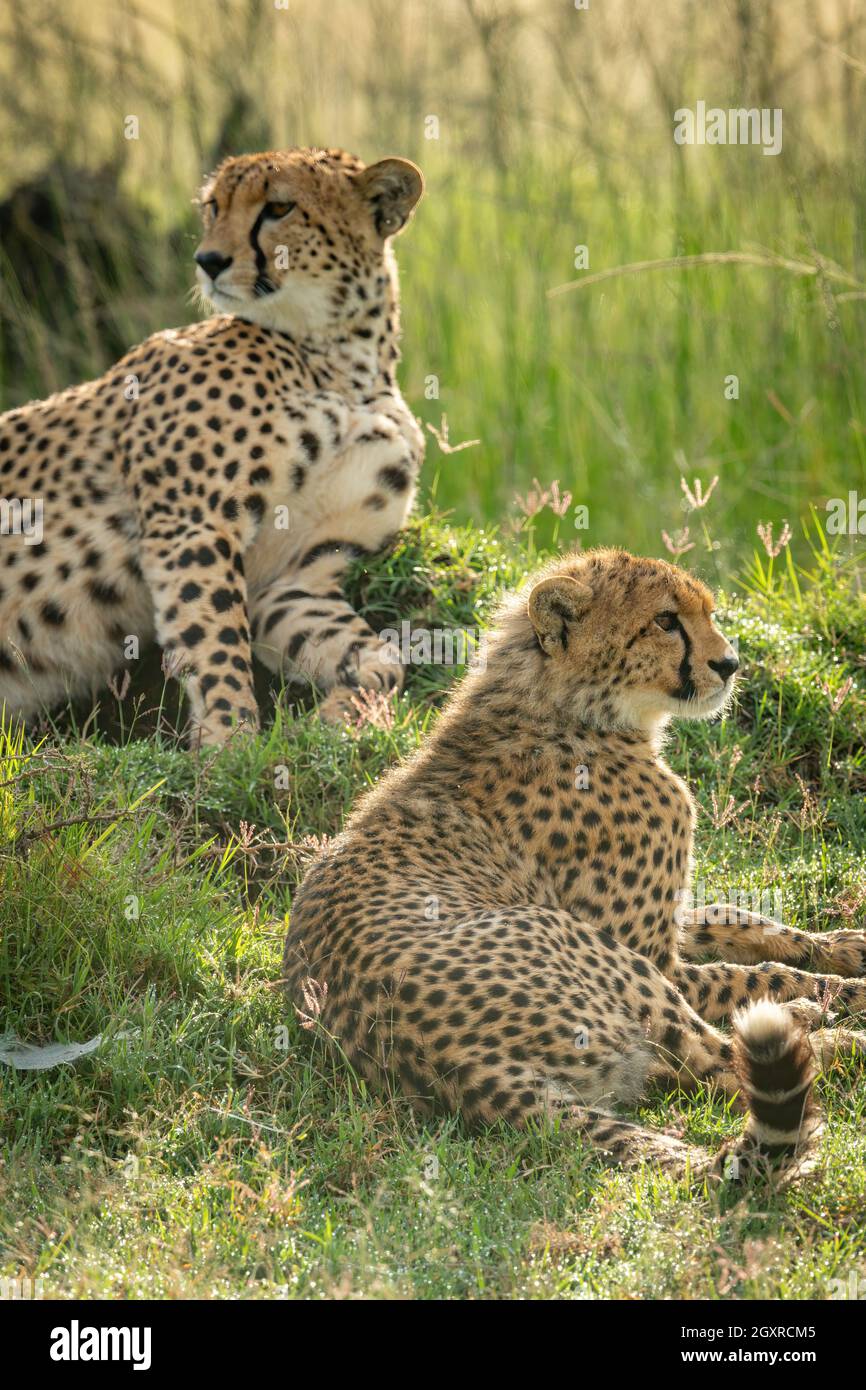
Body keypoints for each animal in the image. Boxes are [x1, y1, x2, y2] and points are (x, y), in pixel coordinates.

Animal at [0, 146, 425, 745]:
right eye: (213, 207)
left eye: (278, 207)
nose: (208, 260)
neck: (344, 357)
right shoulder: (191, 524)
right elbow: (215, 640)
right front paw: (230, 742)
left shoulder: (298, 577)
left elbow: (381, 659)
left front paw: (346, 717)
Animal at [284, 547, 866, 1178]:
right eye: (666, 621)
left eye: (708, 611)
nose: (730, 663)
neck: (568, 709)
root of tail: (462, 1072)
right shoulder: (657, 959)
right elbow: (755, 973)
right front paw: (842, 992)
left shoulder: (668, 926)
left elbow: (744, 922)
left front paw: (847, 946)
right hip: (577, 945)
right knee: (721, 1063)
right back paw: (835, 1036)